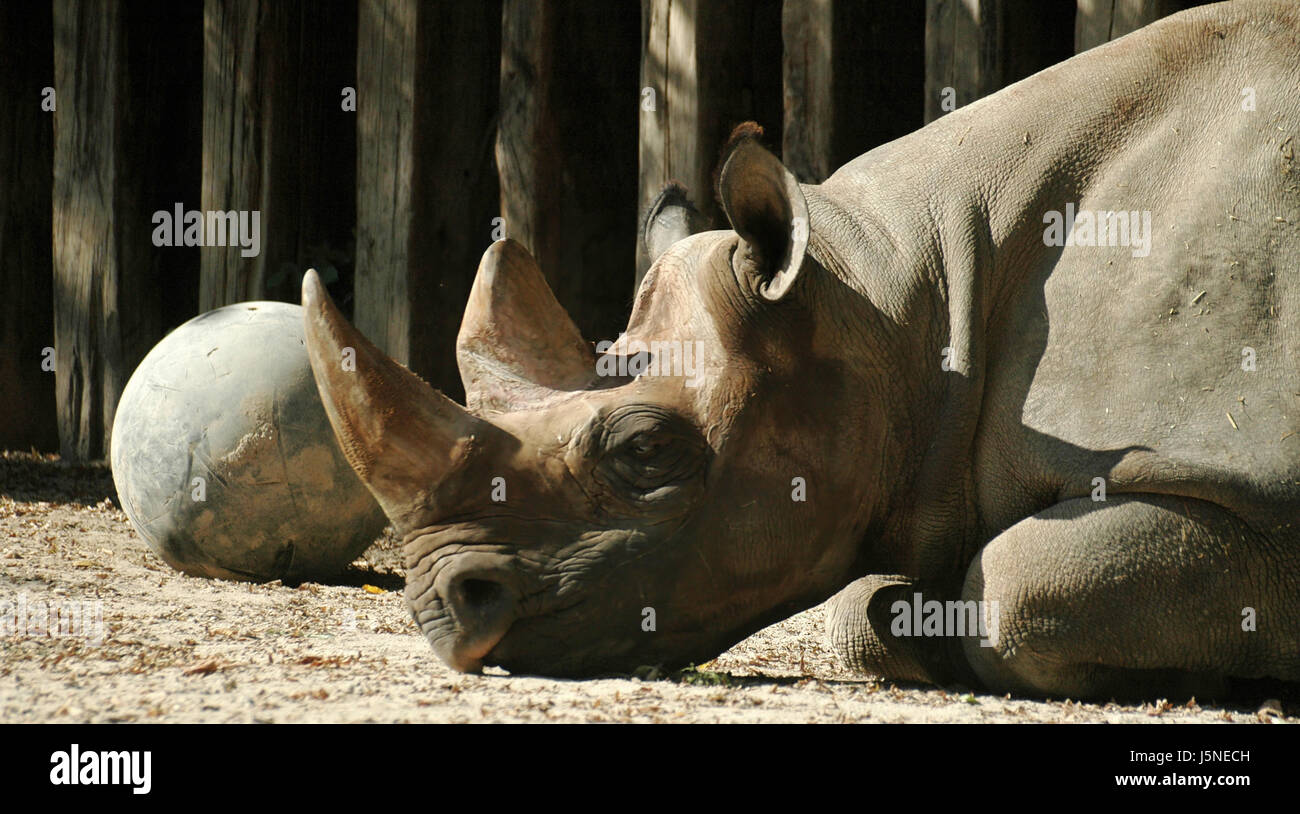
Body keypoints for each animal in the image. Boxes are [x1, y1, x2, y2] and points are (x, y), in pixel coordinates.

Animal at [301, 0, 1300, 699]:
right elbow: (863, 610)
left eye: (646, 452)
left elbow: (1017, 581)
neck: (890, 302)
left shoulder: (1240, 470)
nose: (440, 611)